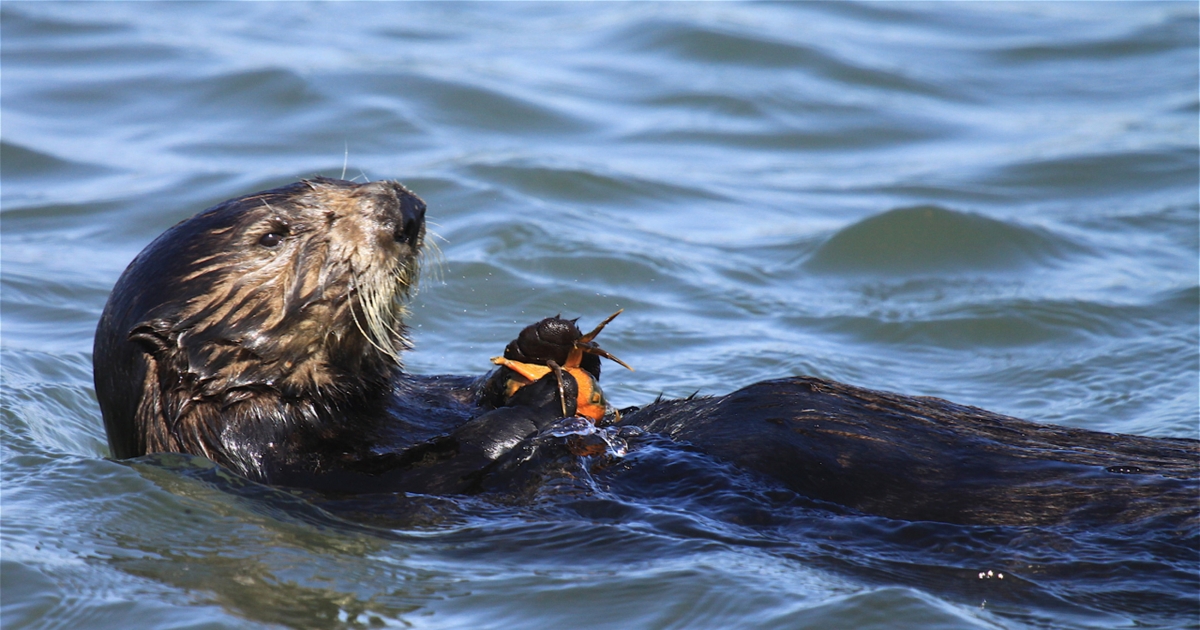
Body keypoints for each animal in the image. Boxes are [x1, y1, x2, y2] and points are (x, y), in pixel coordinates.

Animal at [94, 178, 1199, 526]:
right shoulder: (300, 477)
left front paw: (546, 346)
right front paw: (537, 405)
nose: (405, 206)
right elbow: (445, 464)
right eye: (278, 233)